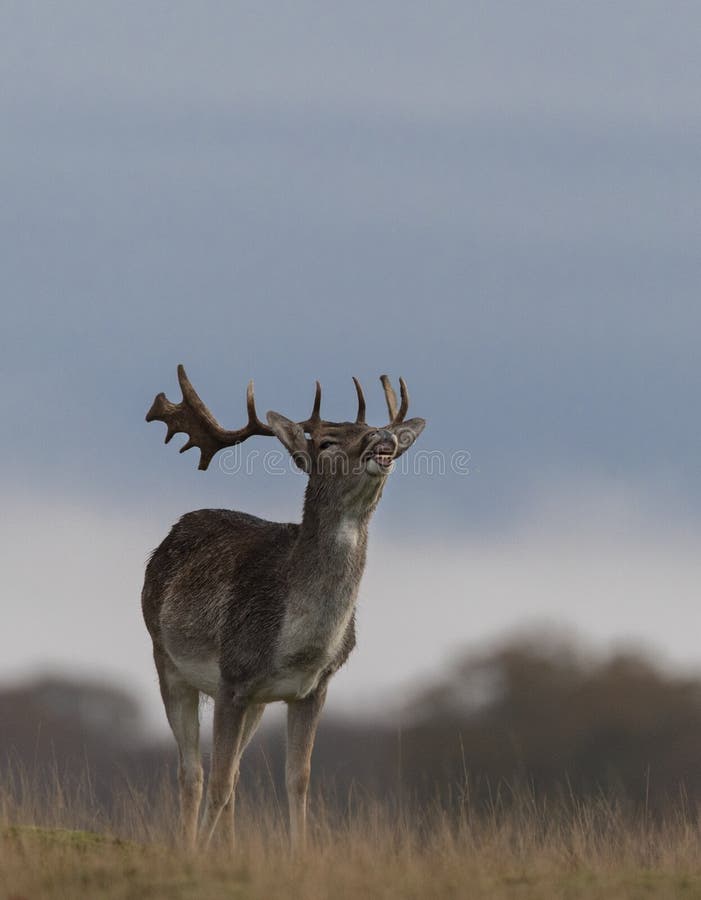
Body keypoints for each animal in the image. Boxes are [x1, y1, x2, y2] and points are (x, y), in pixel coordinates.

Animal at [141, 365, 425, 850]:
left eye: (372, 428)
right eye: (326, 442)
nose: (384, 438)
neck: (297, 644)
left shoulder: (313, 687)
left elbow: (297, 779)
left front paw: (300, 853)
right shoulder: (233, 677)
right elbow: (216, 780)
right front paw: (200, 853)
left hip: (253, 702)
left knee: (232, 773)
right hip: (167, 659)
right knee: (192, 773)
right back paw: (190, 844)